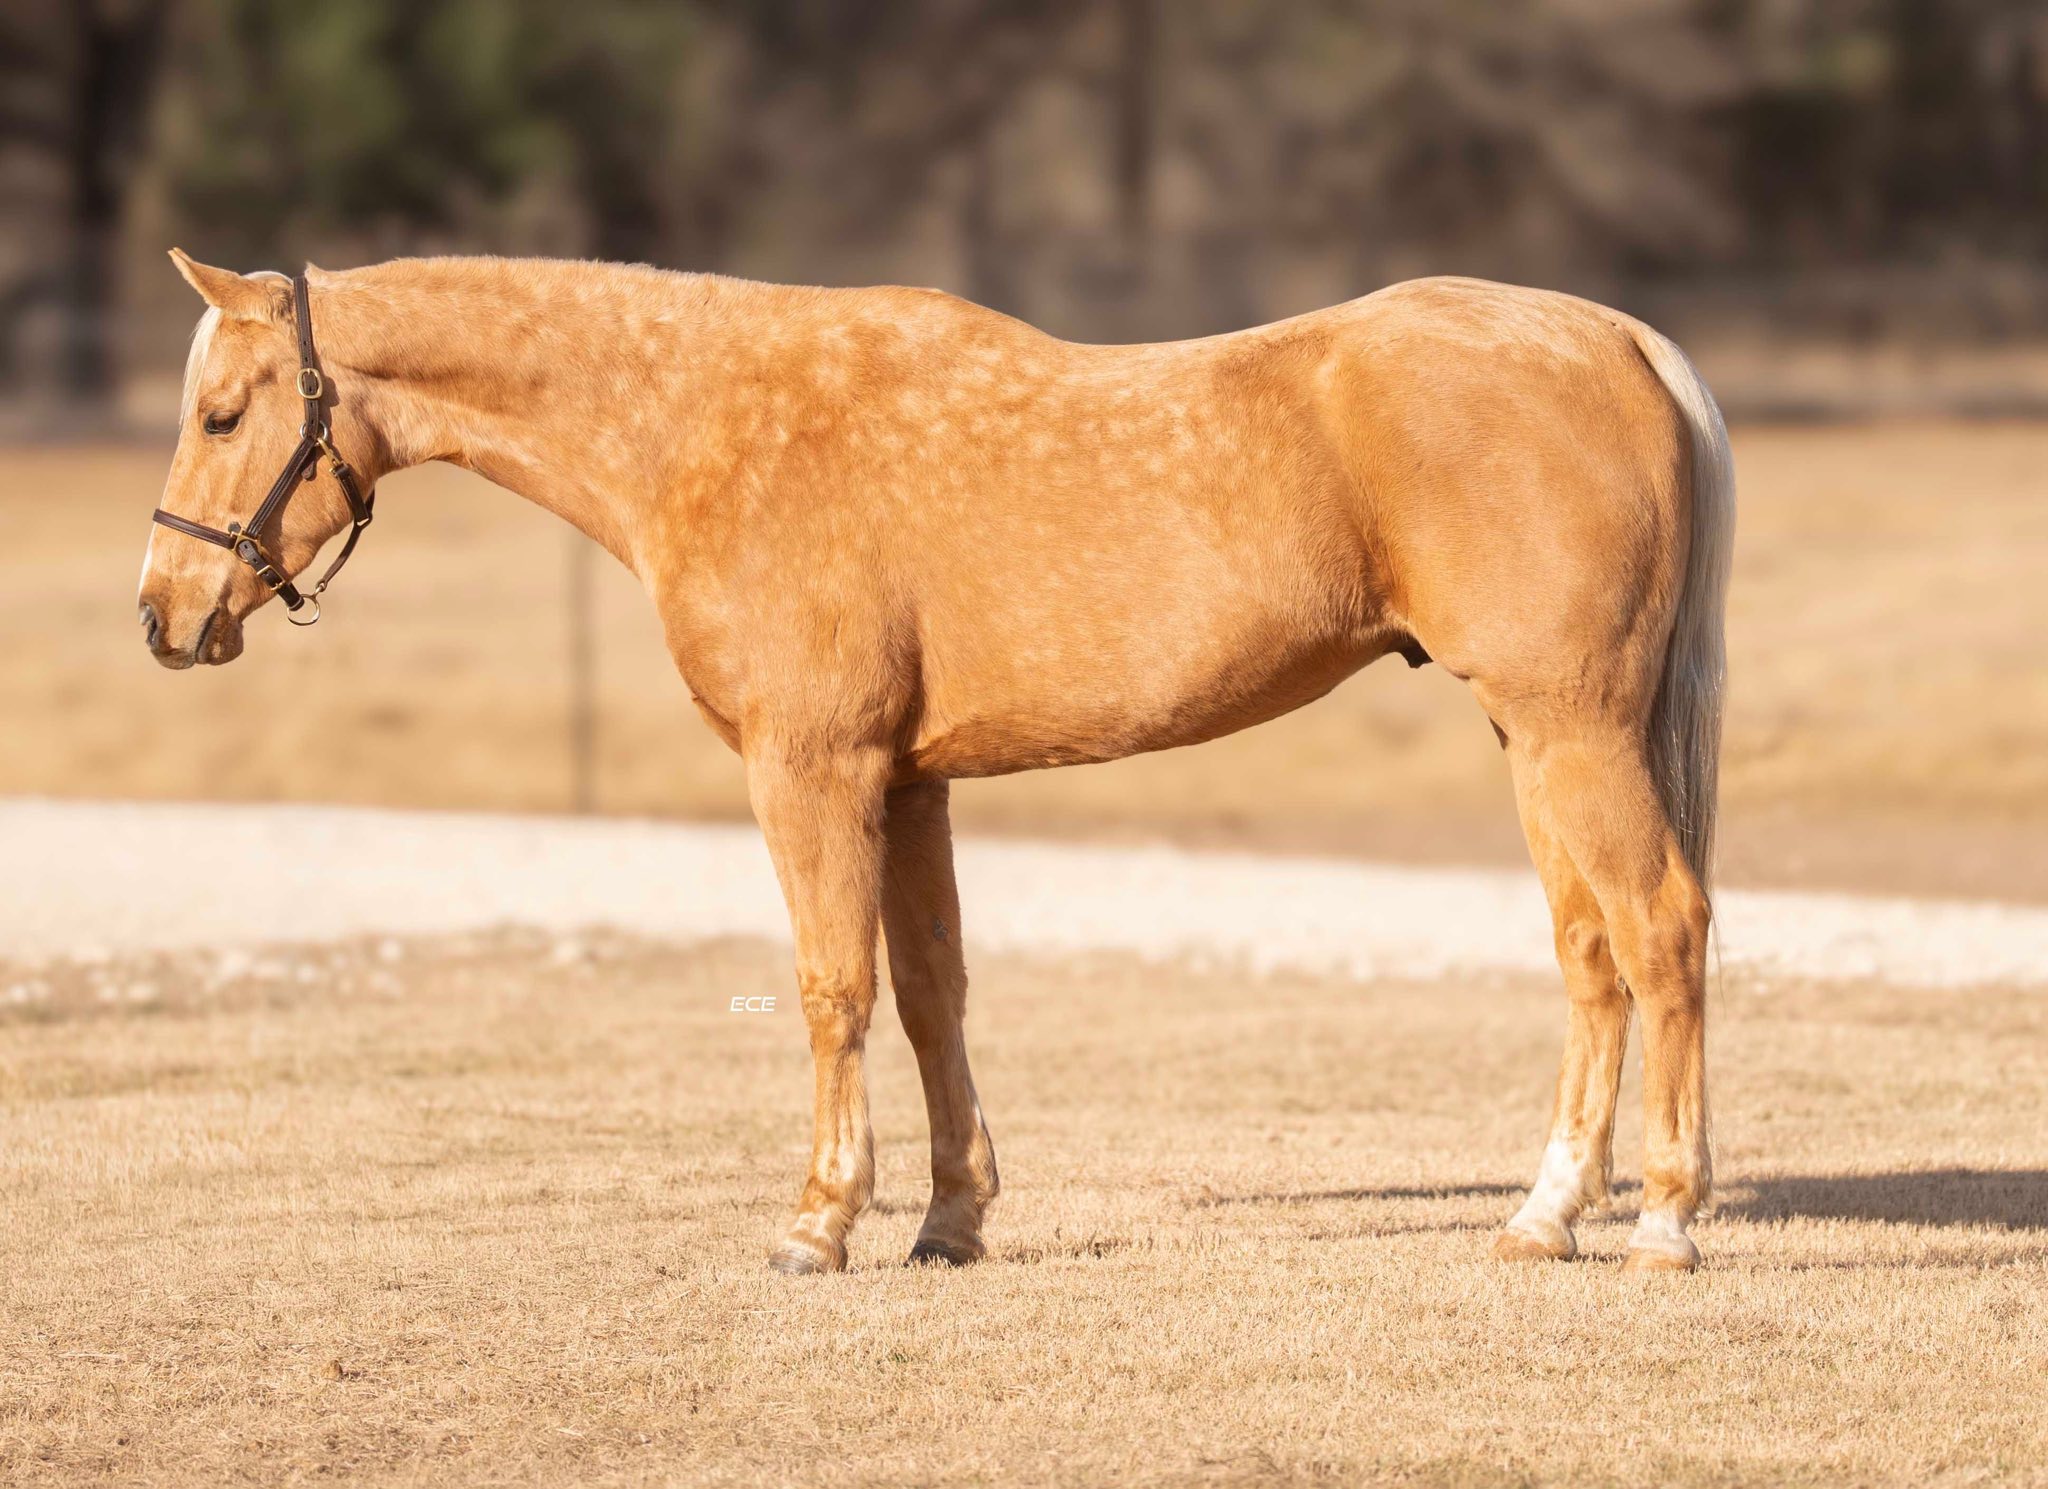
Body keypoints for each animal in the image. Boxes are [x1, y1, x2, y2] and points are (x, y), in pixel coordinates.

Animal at [139, 250, 1732, 1275]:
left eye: (223, 414)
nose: (162, 615)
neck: (711, 424)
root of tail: (1617, 338)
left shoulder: (814, 771)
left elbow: (831, 990)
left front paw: (817, 1222)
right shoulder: (908, 784)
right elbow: (927, 995)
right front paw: (947, 1221)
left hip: (1576, 728)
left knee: (1661, 930)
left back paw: (1661, 1216)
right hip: (1533, 737)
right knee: (1589, 953)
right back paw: (1543, 1215)